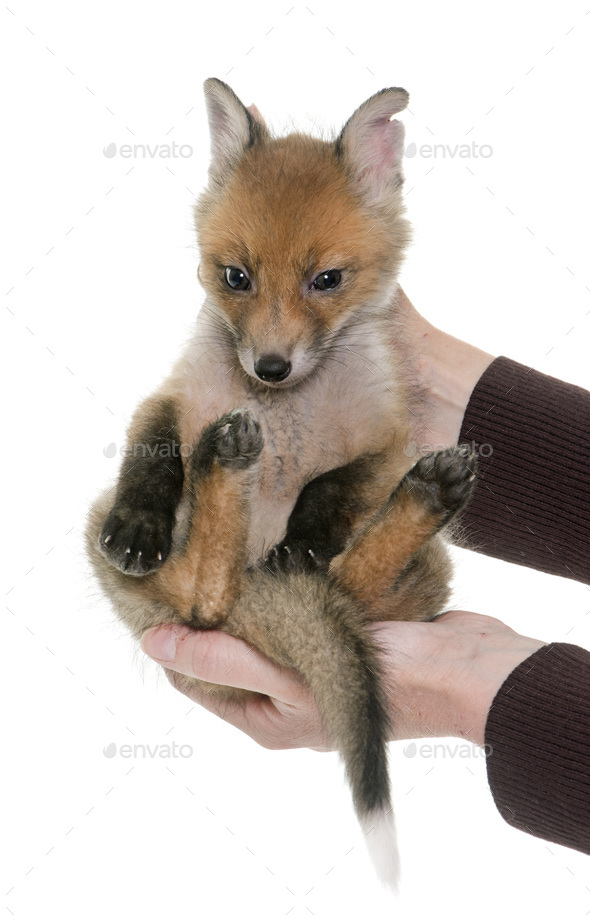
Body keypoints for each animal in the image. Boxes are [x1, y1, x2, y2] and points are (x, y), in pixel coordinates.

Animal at [86, 78, 477, 888]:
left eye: (326, 279)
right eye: (235, 276)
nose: (268, 367)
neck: (281, 414)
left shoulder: (387, 439)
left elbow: (331, 490)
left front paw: (301, 538)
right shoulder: (175, 400)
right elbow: (151, 456)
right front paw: (141, 522)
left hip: (416, 575)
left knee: (336, 586)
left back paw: (412, 502)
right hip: (149, 574)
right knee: (205, 594)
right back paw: (225, 471)